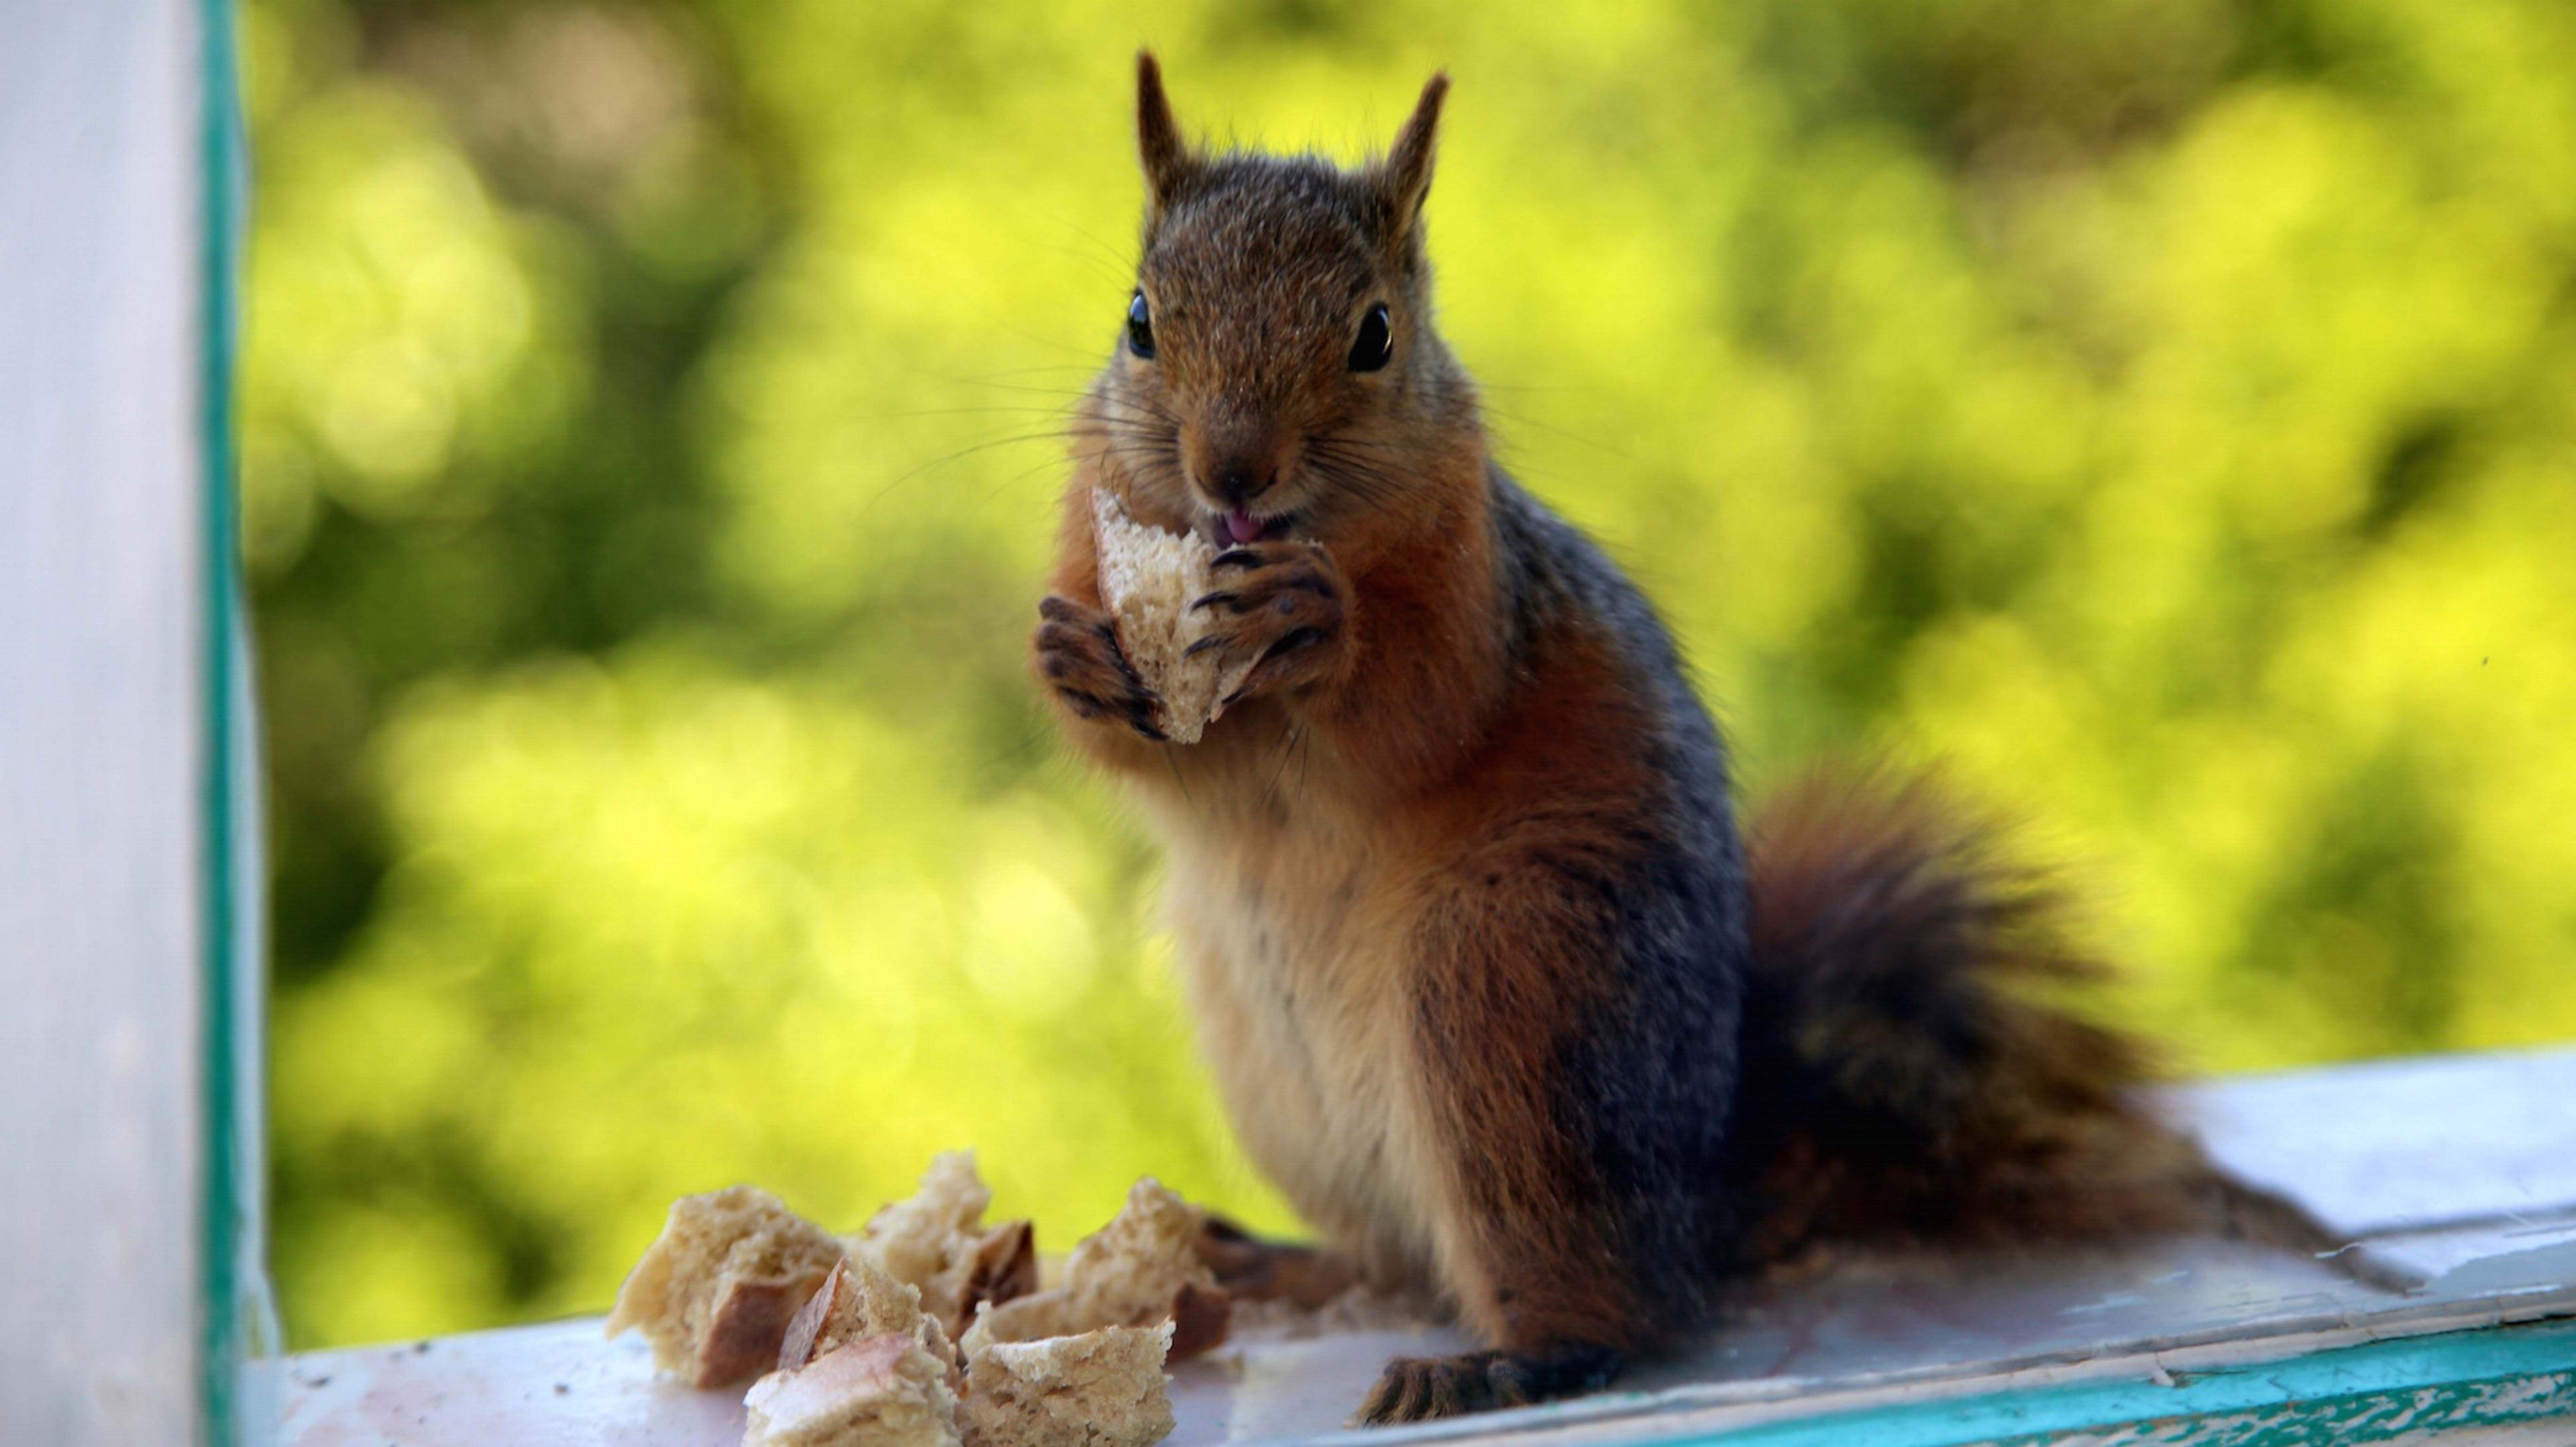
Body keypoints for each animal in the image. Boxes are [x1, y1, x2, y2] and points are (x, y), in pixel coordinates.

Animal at [1032, 55, 2304, 1424]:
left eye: (1374, 335)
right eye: (1139, 319)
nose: (1233, 471)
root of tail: (1707, 1195)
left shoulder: (1482, 584)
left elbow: (1421, 712)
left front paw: (1321, 622)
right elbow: (1162, 751)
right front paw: (1075, 658)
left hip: (1512, 986)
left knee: (1610, 1303)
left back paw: (1503, 1358)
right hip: (1276, 1059)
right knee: (1398, 1256)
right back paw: (1286, 1263)